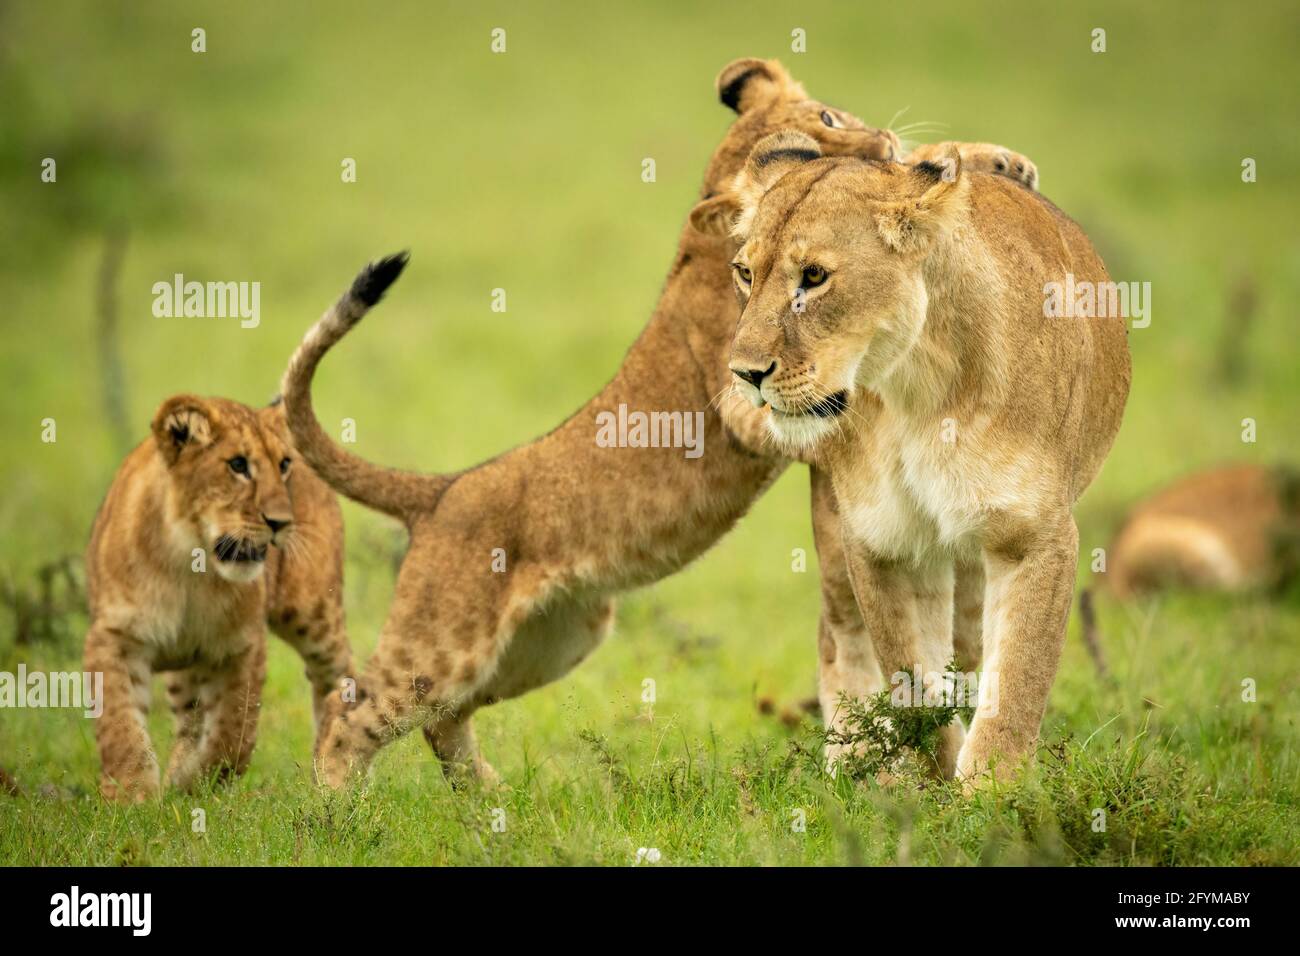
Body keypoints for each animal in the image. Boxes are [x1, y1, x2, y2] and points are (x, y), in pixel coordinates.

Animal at [83, 395, 350, 801]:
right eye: (237, 465)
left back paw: (336, 772)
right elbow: (120, 725)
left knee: (338, 676)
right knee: (189, 717)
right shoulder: (115, 636)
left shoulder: (241, 645)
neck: (190, 566)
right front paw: (133, 797)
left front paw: (195, 783)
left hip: (313, 611)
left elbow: (233, 733)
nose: (280, 522)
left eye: (283, 465)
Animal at [279, 58, 1044, 788]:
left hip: (550, 643)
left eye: (830, 117)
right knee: (354, 715)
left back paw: (487, 798)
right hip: (444, 641)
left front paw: (997, 162)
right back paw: (339, 812)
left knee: (445, 719)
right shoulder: (740, 398)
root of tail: (440, 491)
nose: (879, 146)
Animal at [719, 131, 1130, 783]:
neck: (916, 389)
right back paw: (853, 761)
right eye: (744, 273)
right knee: (842, 636)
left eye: (814, 276)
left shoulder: (1033, 536)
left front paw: (988, 793)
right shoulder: (882, 540)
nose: (745, 374)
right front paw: (928, 781)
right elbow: (910, 680)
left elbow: (1017, 681)